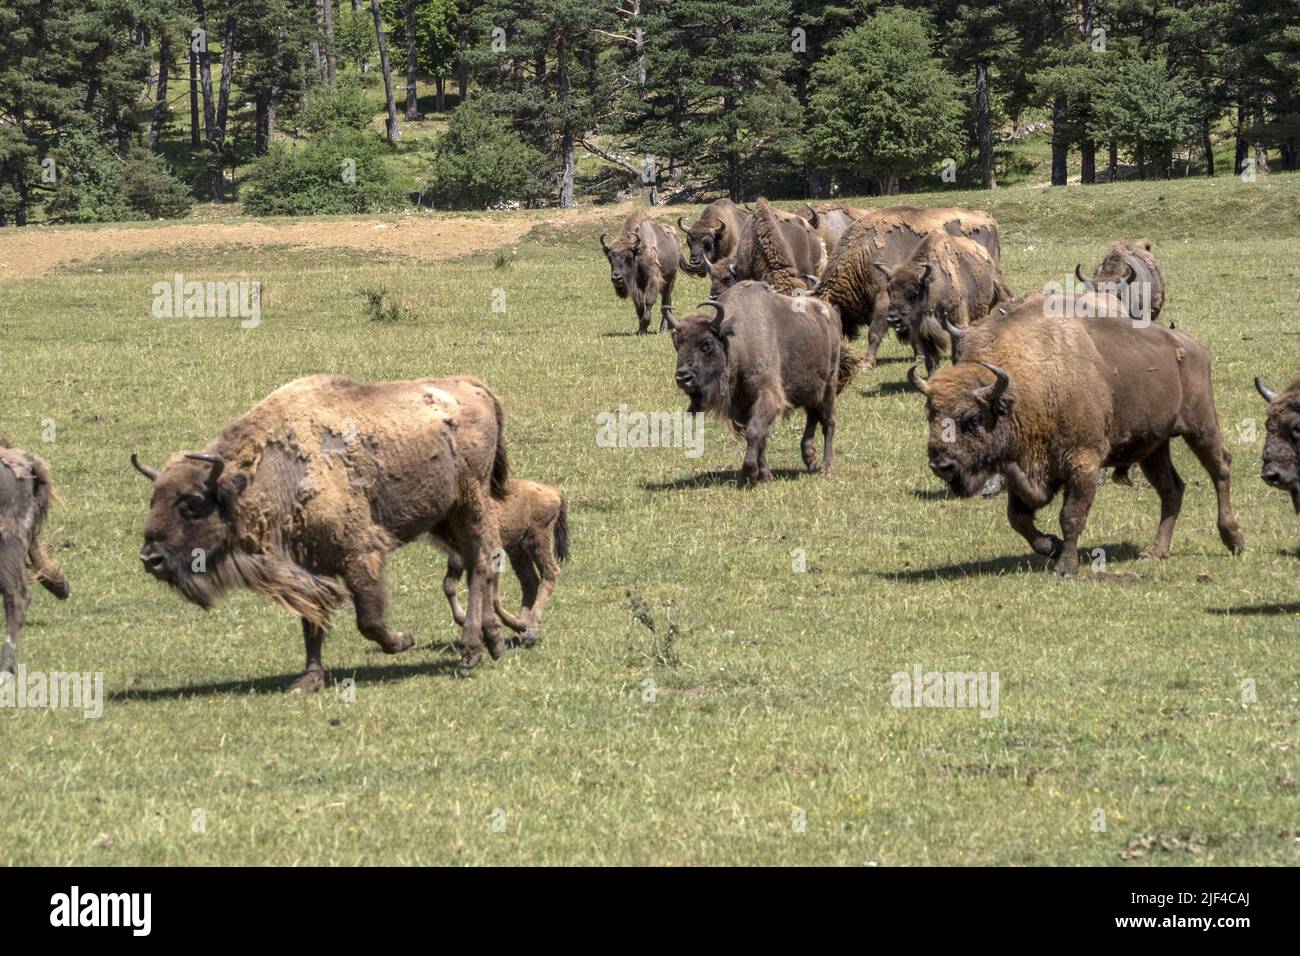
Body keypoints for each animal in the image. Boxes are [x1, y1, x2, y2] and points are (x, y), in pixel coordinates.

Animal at [131, 374, 513, 686]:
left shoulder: (359, 554)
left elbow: (368, 619)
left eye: (192, 503)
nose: (151, 559)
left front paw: (403, 641)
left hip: (471, 502)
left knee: (482, 560)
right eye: (153, 500)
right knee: (479, 562)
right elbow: (312, 619)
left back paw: (471, 650)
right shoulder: (309, 567)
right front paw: (309, 680)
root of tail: (474, 387)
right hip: (446, 516)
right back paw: (493, 641)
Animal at [664, 281, 852, 487]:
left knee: (828, 422)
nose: (683, 377)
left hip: (829, 387)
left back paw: (827, 467)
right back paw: (810, 459)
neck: (736, 341)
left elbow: (754, 432)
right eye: (677, 344)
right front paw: (765, 476)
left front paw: (747, 475)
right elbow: (759, 436)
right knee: (813, 416)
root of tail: (830, 312)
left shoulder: (769, 396)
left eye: (707, 343)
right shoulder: (744, 405)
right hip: (810, 390)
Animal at [909, 301, 1244, 575]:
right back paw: (1154, 551)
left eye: (973, 419)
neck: (1027, 386)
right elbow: (1018, 517)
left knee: (1221, 470)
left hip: (1200, 426)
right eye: (930, 414)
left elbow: (1071, 516)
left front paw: (1066, 566)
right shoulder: (1022, 467)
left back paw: (1234, 539)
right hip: (1152, 447)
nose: (941, 465)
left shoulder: (1083, 463)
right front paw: (1051, 546)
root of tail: (1193, 347)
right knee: (1171, 489)